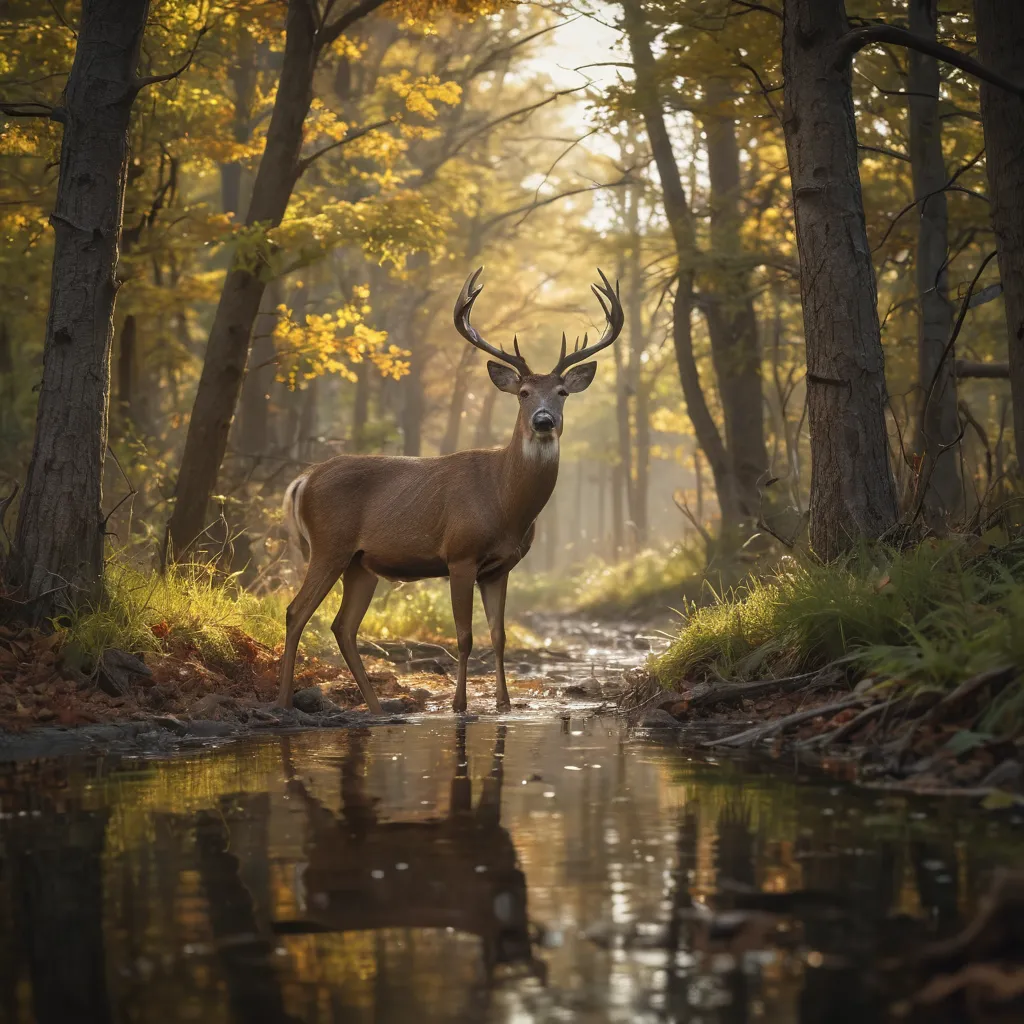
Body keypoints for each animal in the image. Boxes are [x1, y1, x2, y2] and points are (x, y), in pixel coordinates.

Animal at [277, 267, 624, 714]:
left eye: (562, 393)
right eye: (524, 393)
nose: (544, 420)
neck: (505, 502)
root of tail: (303, 480)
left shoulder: (500, 567)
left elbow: (499, 636)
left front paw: (505, 704)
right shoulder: (460, 554)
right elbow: (464, 636)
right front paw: (460, 705)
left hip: (360, 563)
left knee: (343, 626)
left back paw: (376, 707)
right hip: (328, 544)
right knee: (295, 611)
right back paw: (283, 702)